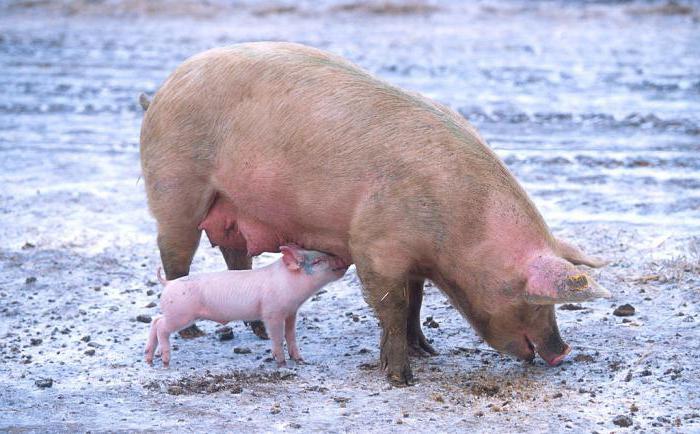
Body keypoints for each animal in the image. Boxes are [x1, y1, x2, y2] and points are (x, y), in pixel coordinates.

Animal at [139, 41, 608, 386]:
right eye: (526, 295)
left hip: (234, 207)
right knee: (174, 252)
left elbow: (416, 301)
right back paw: (193, 332)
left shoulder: (415, 259)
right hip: (173, 187)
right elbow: (393, 307)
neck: (459, 229)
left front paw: (427, 350)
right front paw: (402, 377)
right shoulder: (376, 245)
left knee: (235, 255)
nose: (563, 351)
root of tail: (160, 91)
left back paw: (253, 330)